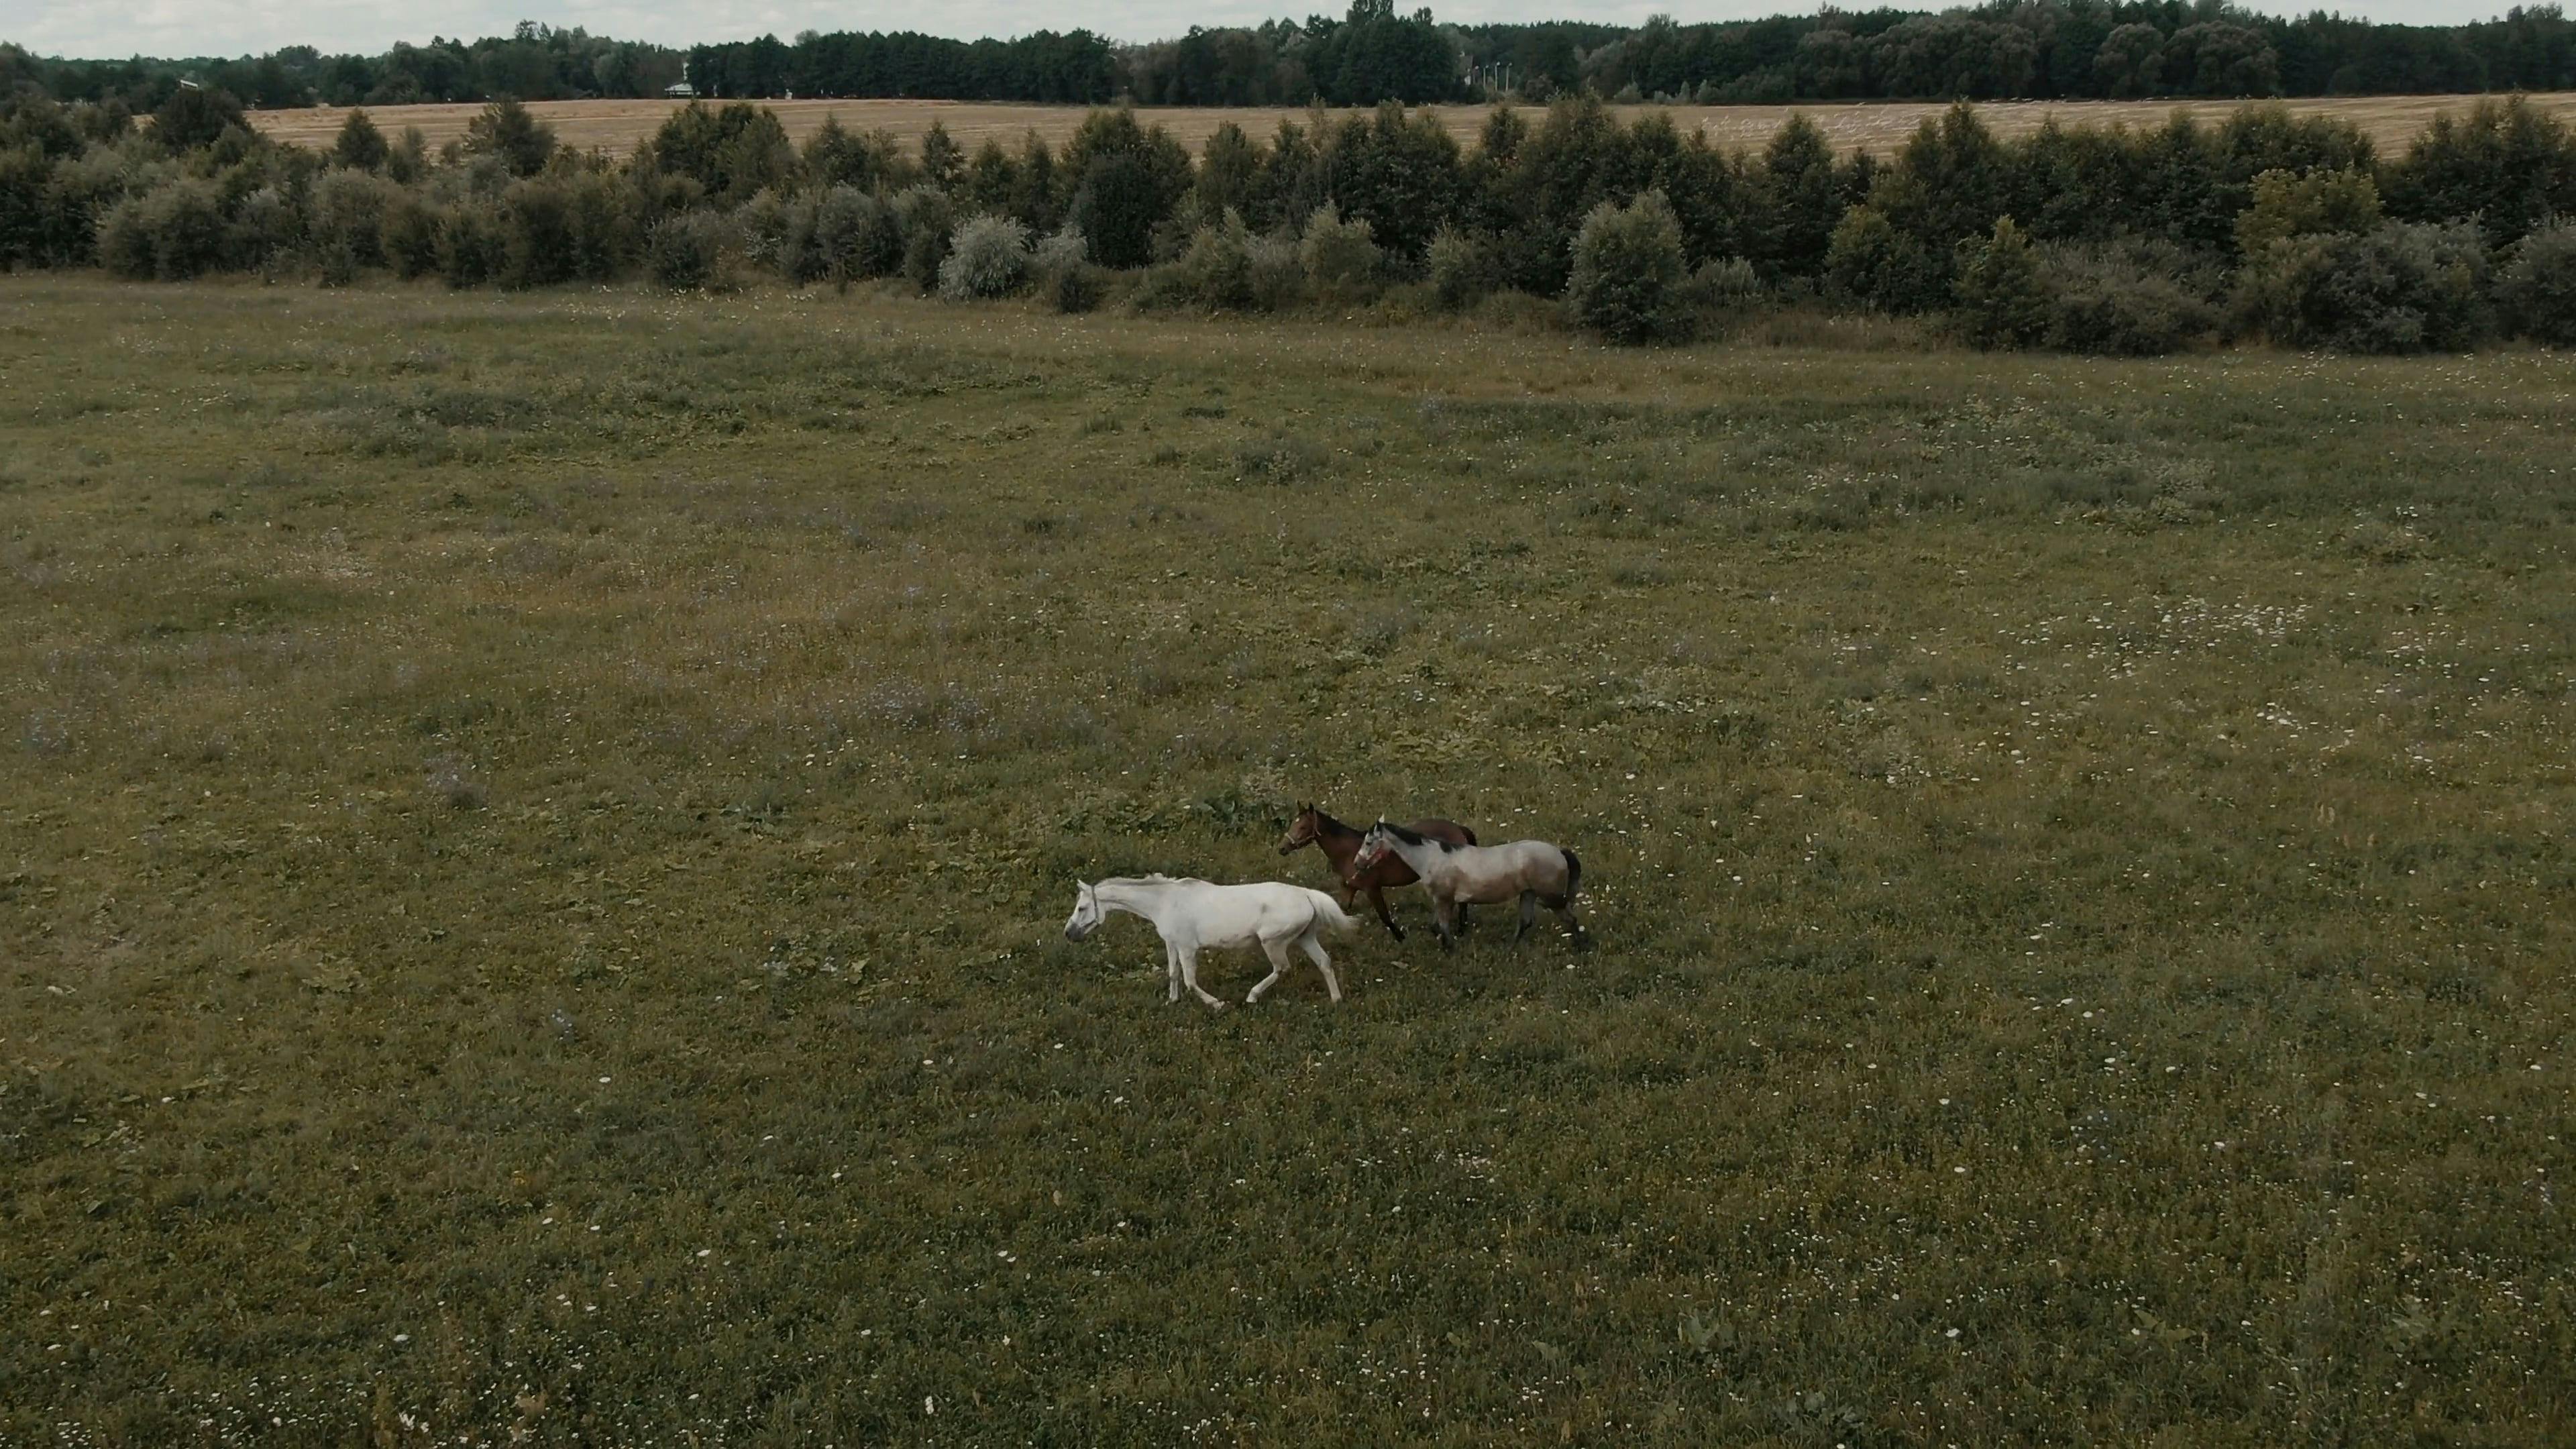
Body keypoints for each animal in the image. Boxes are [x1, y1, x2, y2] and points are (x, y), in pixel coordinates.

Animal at [1063, 875, 1361, 1009]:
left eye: (1081, 908)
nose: (1069, 933)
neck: (1164, 902)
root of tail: (1307, 894)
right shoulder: (1172, 944)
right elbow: (1173, 974)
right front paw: (1172, 1001)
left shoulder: (1187, 948)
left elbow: (1190, 981)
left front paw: (1216, 1004)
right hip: (1305, 937)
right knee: (1324, 962)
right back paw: (1336, 999)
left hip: (1273, 942)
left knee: (1282, 968)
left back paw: (1252, 996)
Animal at [1277, 803, 1478, 940]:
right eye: (1292, 825)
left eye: (1303, 827)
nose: (1282, 848)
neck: (1349, 852)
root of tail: (1459, 829)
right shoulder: (1350, 888)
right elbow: (1343, 910)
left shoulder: (1372, 889)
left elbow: (1385, 917)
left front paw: (1401, 939)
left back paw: (1460, 929)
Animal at [1352, 821, 1588, 952]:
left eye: (1369, 842)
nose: (1357, 863)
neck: (1431, 858)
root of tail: (1559, 851)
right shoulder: (1444, 900)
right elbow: (1436, 927)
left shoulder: (1443, 899)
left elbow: (1443, 926)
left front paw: (1450, 950)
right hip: (1528, 894)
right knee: (1525, 922)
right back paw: (1509, 950)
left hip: (1550, 897)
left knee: (1570, 919)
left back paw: (1581, 949)